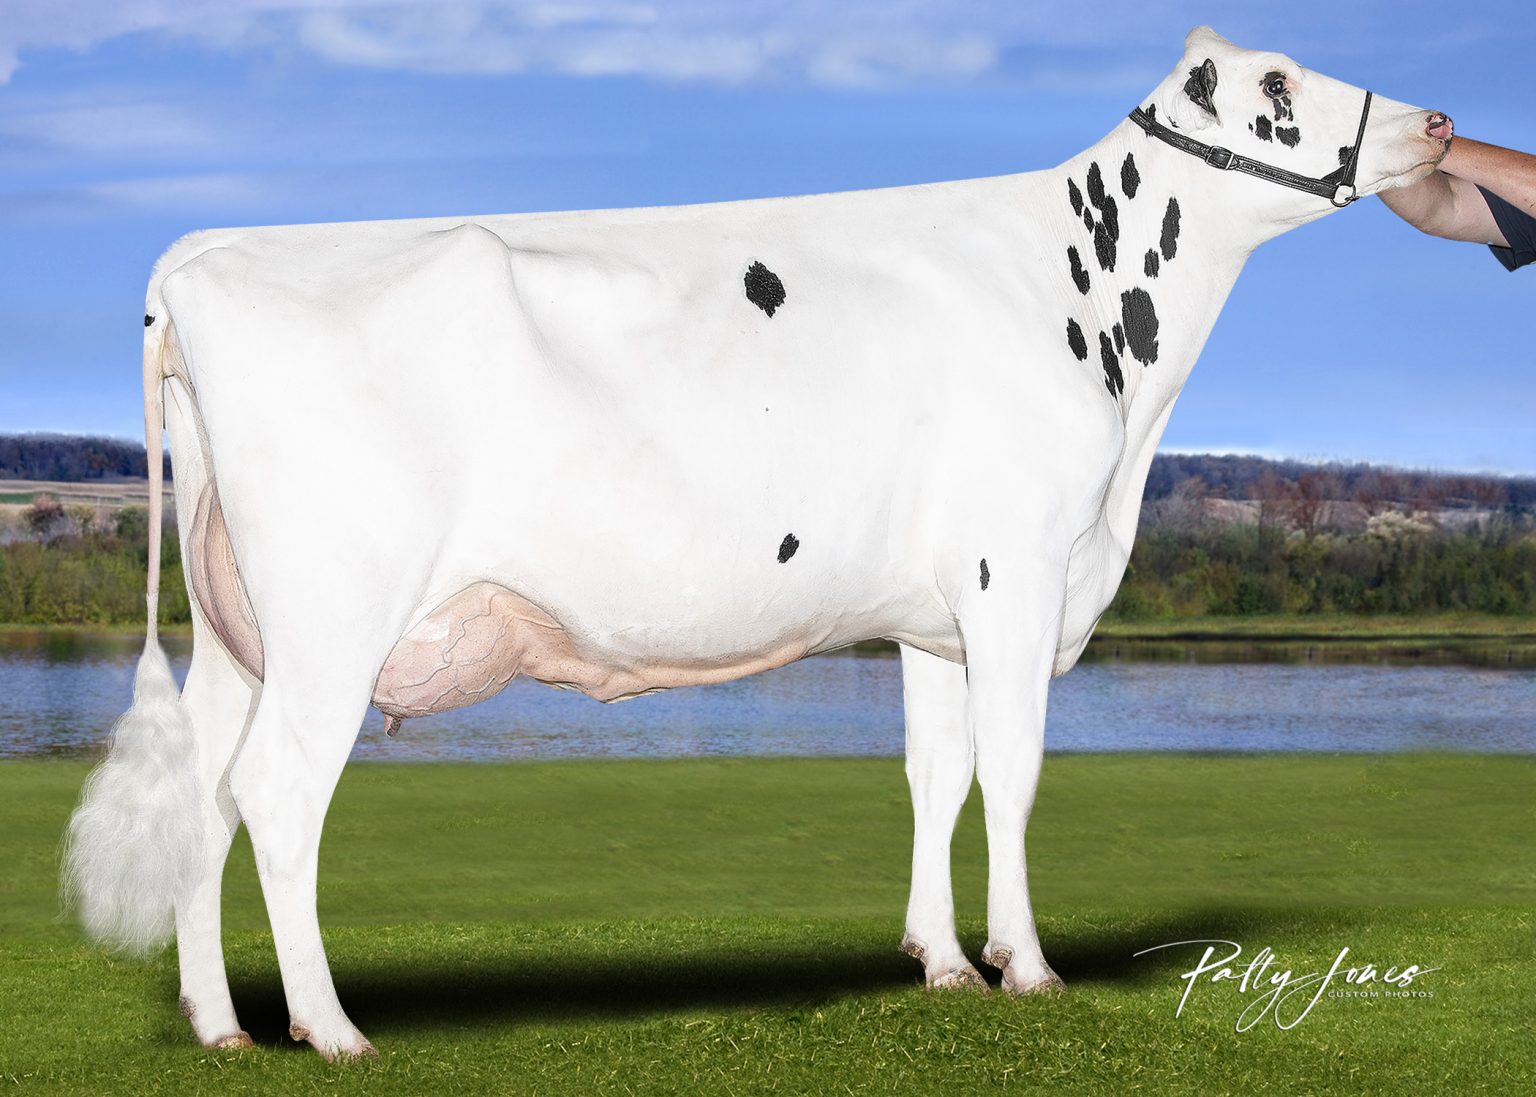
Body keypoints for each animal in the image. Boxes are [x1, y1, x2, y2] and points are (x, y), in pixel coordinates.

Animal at [63, 27, 1451, 1059]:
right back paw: (331, 1027)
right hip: (333, 619)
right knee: (274, 796)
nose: (1439, 123)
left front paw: (943, 959)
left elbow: (936, 773)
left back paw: (220, 1023)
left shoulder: (937, 614)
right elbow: (1012, 773)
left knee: (204, 792)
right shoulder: (1015, 571)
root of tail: (200, 261)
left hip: (239, 632)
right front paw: (1029, 965)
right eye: (1278, 85)